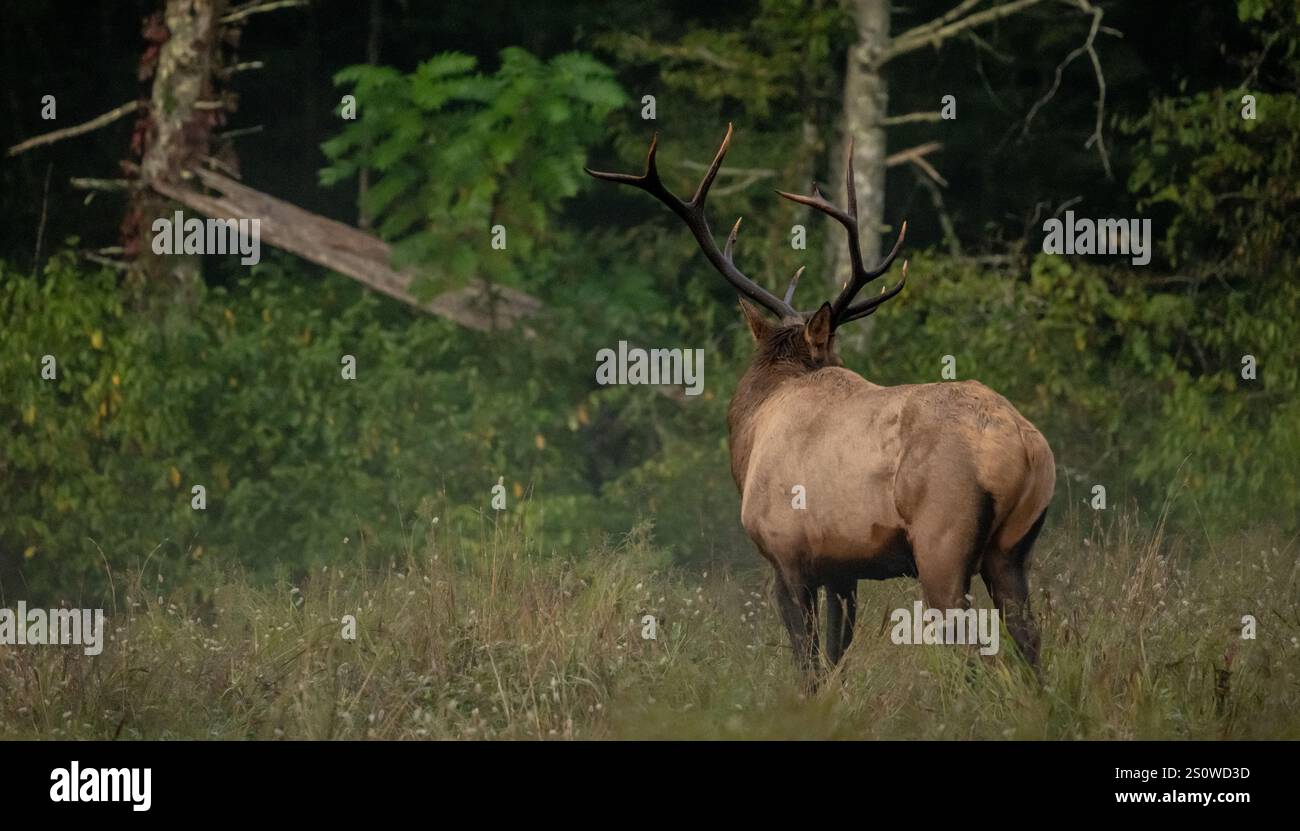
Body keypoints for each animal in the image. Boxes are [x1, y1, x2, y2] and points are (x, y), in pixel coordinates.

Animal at [586, 124, 1055, 688]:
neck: (748, 440)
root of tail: (1024, 447)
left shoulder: (787, 553)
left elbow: (807, 663)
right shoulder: (843, 569)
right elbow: (835, 658)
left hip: (943, 541)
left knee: (979, 657)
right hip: (1012, 550)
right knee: (1032, 646)